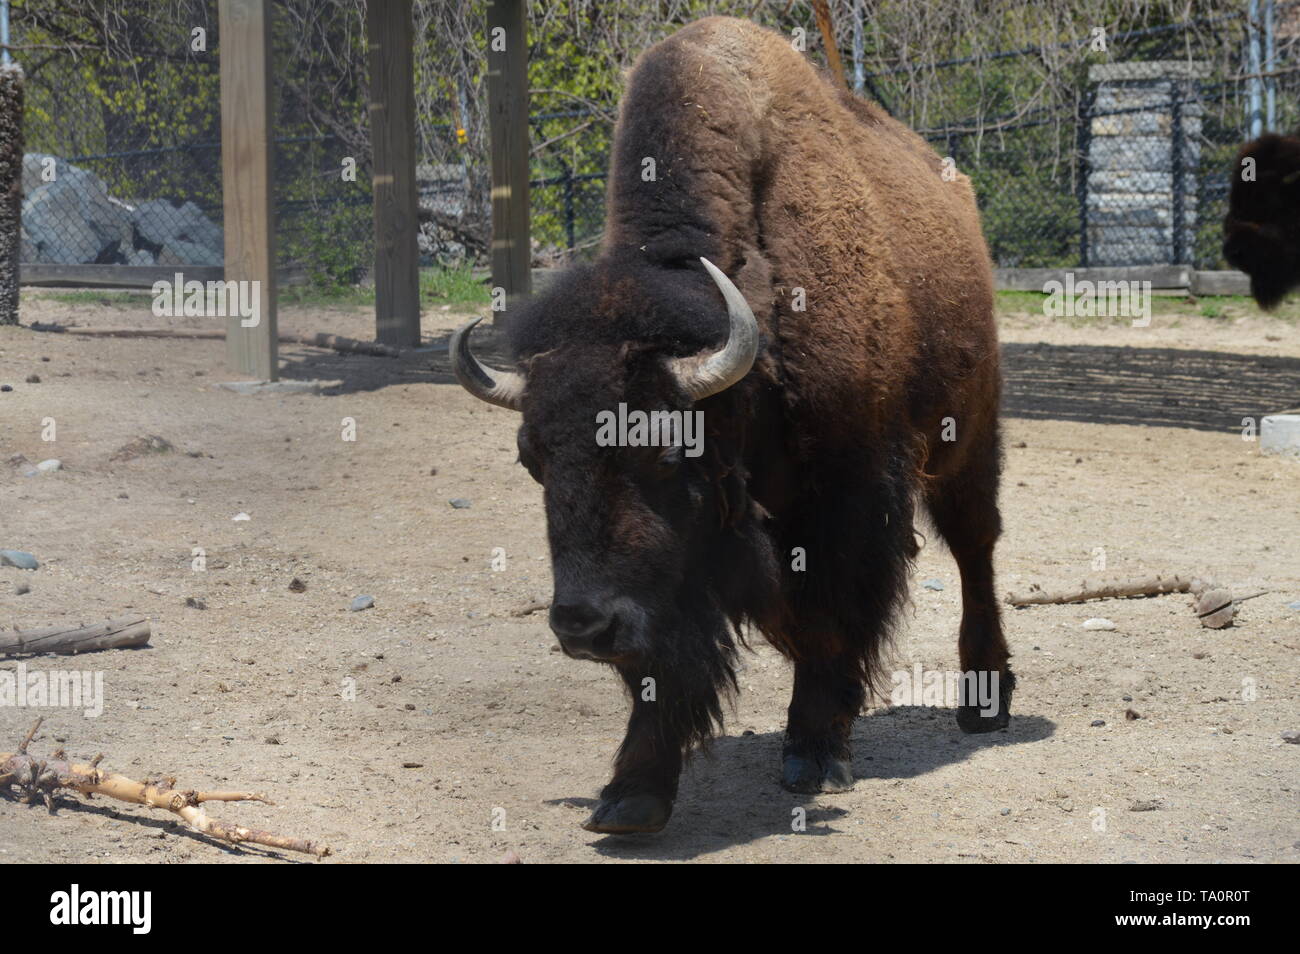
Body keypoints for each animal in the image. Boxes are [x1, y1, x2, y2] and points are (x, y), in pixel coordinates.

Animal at [453, 16, 1013, 833]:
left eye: (664, 452)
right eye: (534, 460)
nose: (582, 627)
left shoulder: (842, 495)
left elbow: (830, 614)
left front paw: (814, 755)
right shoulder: (688, 560)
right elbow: (676, 652)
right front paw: (631, 795)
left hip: (965, 438)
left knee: (975, 550)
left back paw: (985, 702)